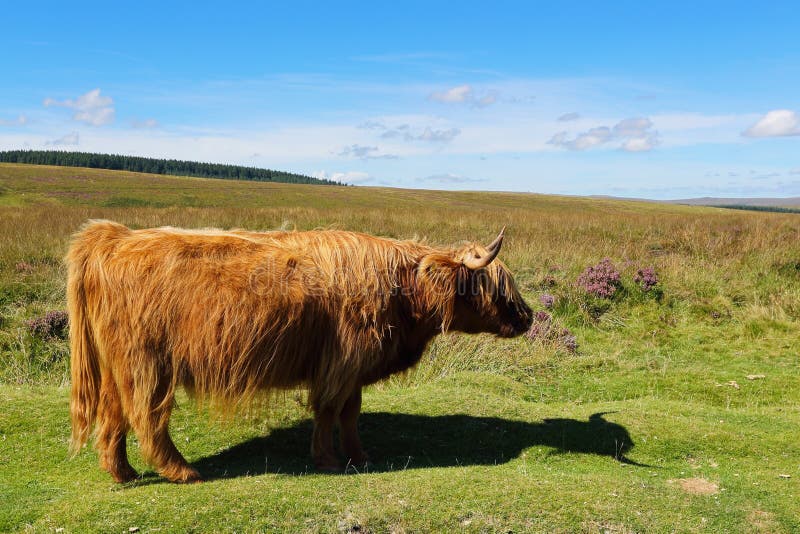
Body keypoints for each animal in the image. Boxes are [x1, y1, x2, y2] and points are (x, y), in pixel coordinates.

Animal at [67, 221, 533, 483]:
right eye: (495, 284)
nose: (528, 317)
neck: (402, 289)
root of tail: (112, 237)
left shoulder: (352, 368)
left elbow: (351, 412)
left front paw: (359, 455)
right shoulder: (341, 363)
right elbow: (329, 411)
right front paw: (327, 459)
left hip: (117, 366)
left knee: (113, 417)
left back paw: (122, 473)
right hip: (147, 363)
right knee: (147, 418)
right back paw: (182, 471)